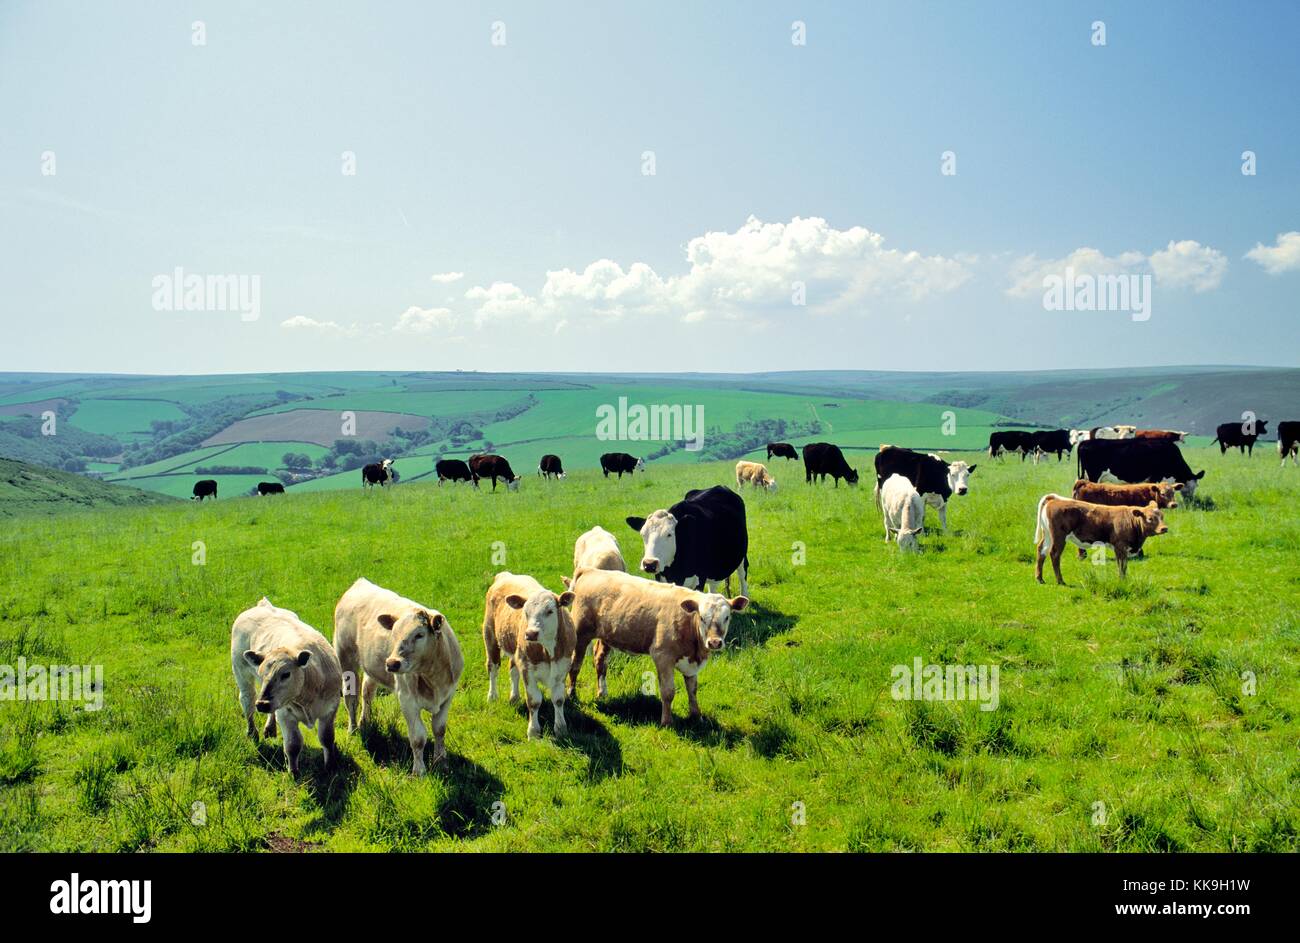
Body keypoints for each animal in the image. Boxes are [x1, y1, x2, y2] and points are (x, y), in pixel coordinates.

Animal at [230, 597, 341, 776]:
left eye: (286, 674)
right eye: (261, 673)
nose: (262, 704)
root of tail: (262, 606)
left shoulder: (330, 708)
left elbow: (326, 738)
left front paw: (330, 765)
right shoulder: (286, 714)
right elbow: (293, 744)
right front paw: (293, 771)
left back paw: (269, 727)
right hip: (242, 675)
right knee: (247, 702)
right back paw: (252, 733)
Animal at [333, 578, 463, 776]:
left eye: (419, 635)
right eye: (393, 634)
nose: (392, 663)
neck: (433, 677)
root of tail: (360, 583)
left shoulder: (448, 696)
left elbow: (439, 729)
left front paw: (441, 761)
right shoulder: (407, 699)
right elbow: (418, 737)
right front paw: (419, 771)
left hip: (372, 666)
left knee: (367, 692)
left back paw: (365, 721)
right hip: (346, 660)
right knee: (351, 700)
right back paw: (353, 729)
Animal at [481, 572, 575, 740]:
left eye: (550, 611)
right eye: (525, 612)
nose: (531, 633)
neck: (548, 650)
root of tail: (506, 575)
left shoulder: (562, 668)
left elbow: (558, 699)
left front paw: (560, 729)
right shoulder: (528, 669)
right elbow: (534, 701)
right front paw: (533, 732)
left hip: (515, 650)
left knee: (513, 671)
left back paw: (514, 697)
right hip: (490, 636)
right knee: (493, 668)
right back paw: (492, 696)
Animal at [565, 567, 747, 723]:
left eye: (727, 617)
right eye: (702, 617)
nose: (714, 642)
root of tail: (591, 570)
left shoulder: (691, 662)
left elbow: (692, 689)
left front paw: (696, 716)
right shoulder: (663, 656)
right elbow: (668, 692)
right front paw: (667, 722)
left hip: (607, 635)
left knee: (600, 660)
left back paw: (602, 693)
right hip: (580, 634)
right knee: (575, 665)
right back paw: (571, 694)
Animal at [1034, 494, 1167, 585]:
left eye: (1162, 516)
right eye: (1150, 518)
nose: (1164, 528)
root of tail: (1054, 500)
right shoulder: (1120, 546)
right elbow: (1122, 565)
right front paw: (1122, 581)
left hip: (1047, 535)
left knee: (1041, 550)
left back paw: (1040, 578)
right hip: (1058, 537)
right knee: (1054, 554)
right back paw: (1060, 581)